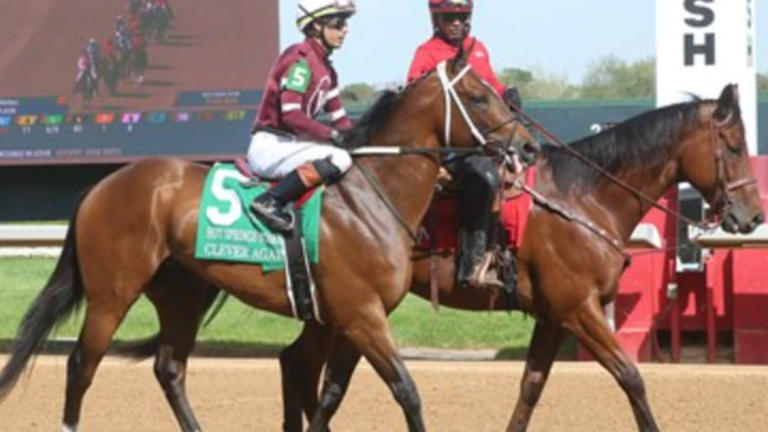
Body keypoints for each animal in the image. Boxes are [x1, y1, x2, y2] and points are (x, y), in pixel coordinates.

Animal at [0, 51, 536, 432]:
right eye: (480, 97)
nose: (528, 147)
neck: (371, 196)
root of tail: (101, 185)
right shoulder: (361, 314)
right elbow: (406, 391)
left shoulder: (351, 317)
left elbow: (330, 393)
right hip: (113, 292)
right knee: (81, 365)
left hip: (180, 294)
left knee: (170, 369)